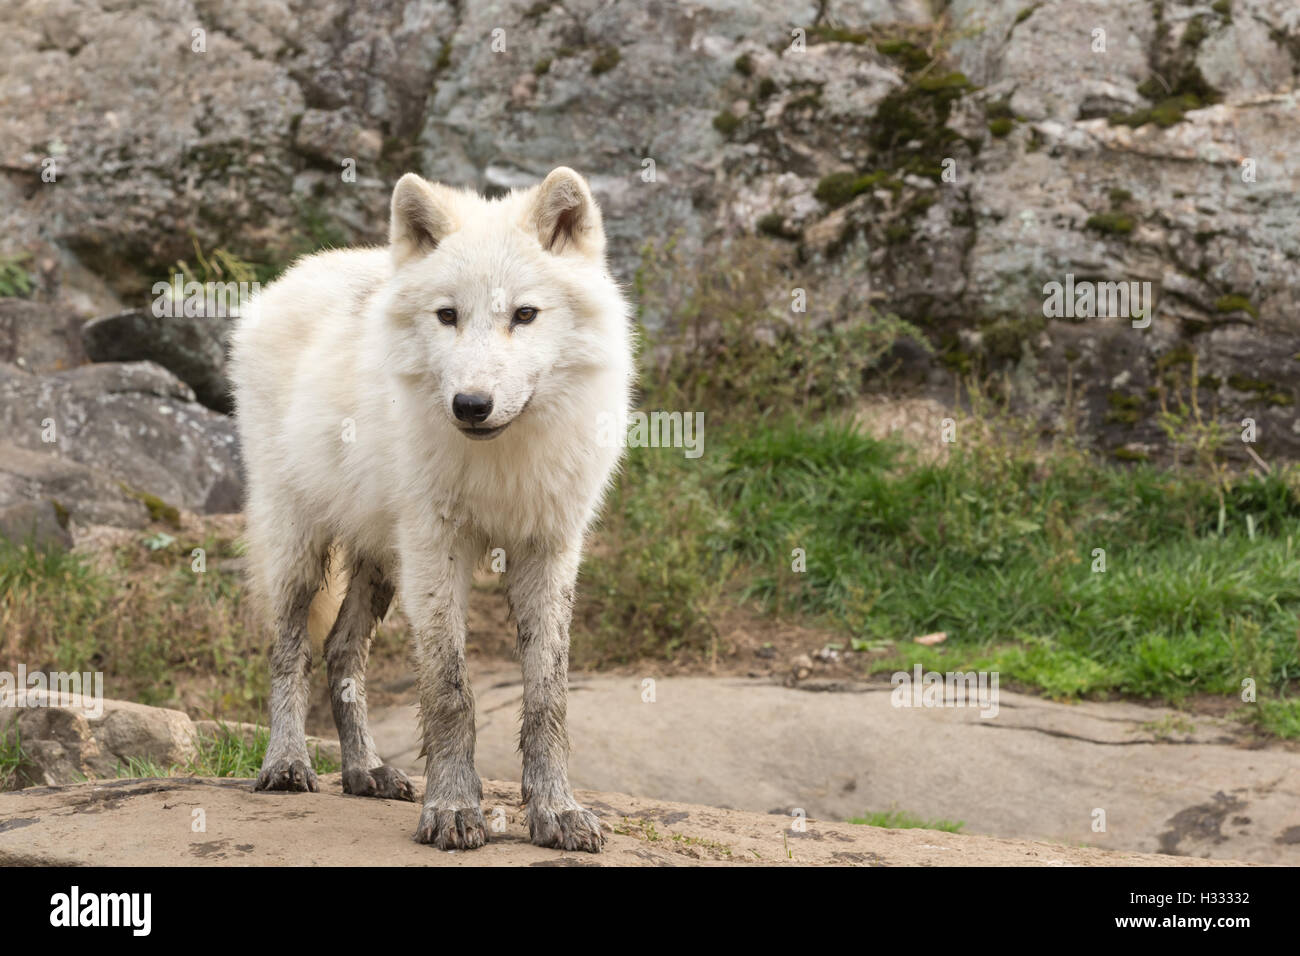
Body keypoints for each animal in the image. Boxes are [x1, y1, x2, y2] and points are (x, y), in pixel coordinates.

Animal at [228, 167, 633, 852]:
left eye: (524, 314)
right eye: (448, 316)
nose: (471, 404)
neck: (502, 459)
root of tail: (297, 273)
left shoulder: (549, 549)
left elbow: (547, 696)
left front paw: (556, 811)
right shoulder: (437, 548)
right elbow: (449, 692)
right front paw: (452, 808)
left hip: (381, 563)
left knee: (341, 652)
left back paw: (364, 772)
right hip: (301, 546)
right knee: (290, 652)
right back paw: (286, 764)